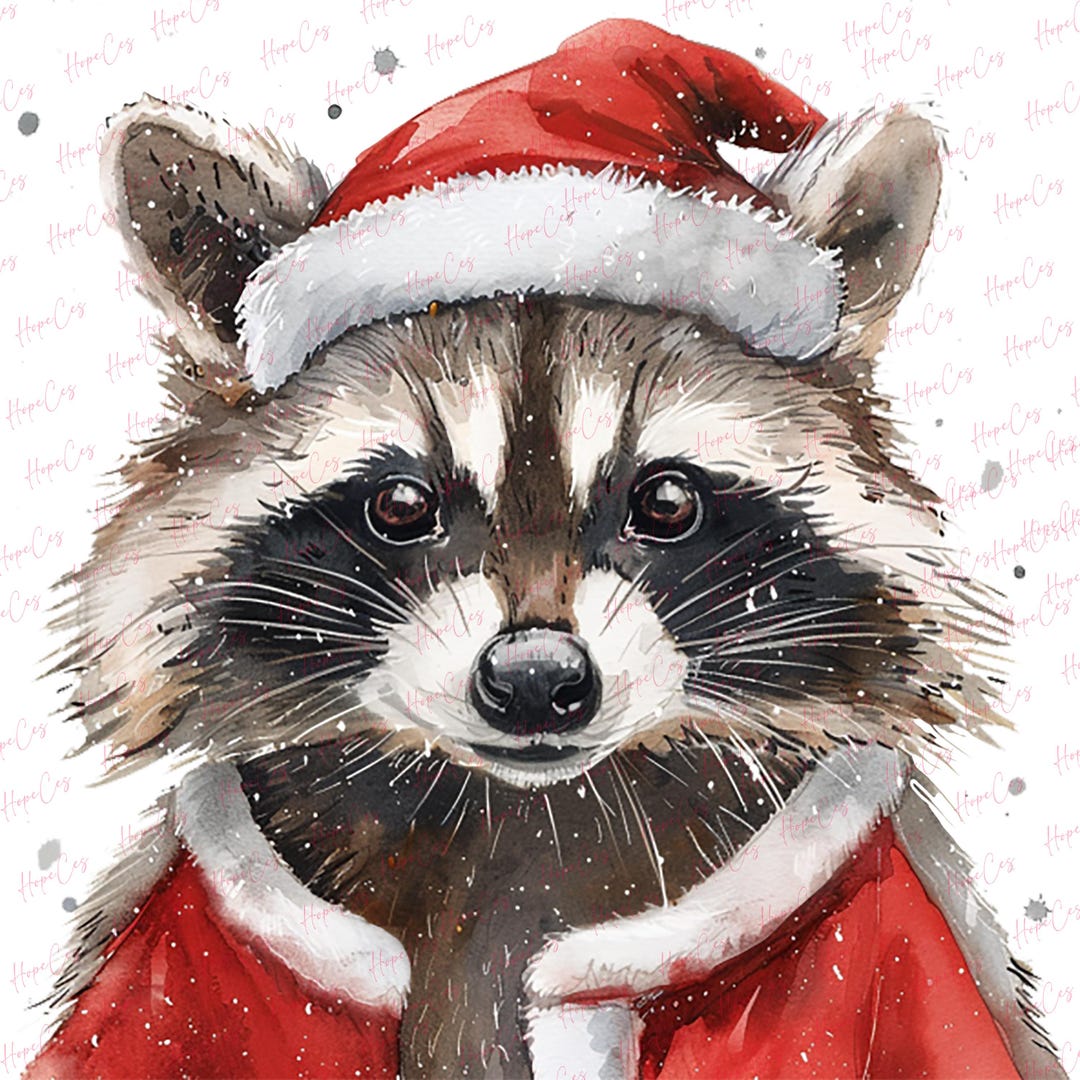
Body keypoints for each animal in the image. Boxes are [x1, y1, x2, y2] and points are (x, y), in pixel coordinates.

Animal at [30, 19, 1065, 1080]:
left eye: (666, 501)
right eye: (401, 503)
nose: (534, 679)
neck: (520, 812)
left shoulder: (871, 956)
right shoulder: (190, 964)